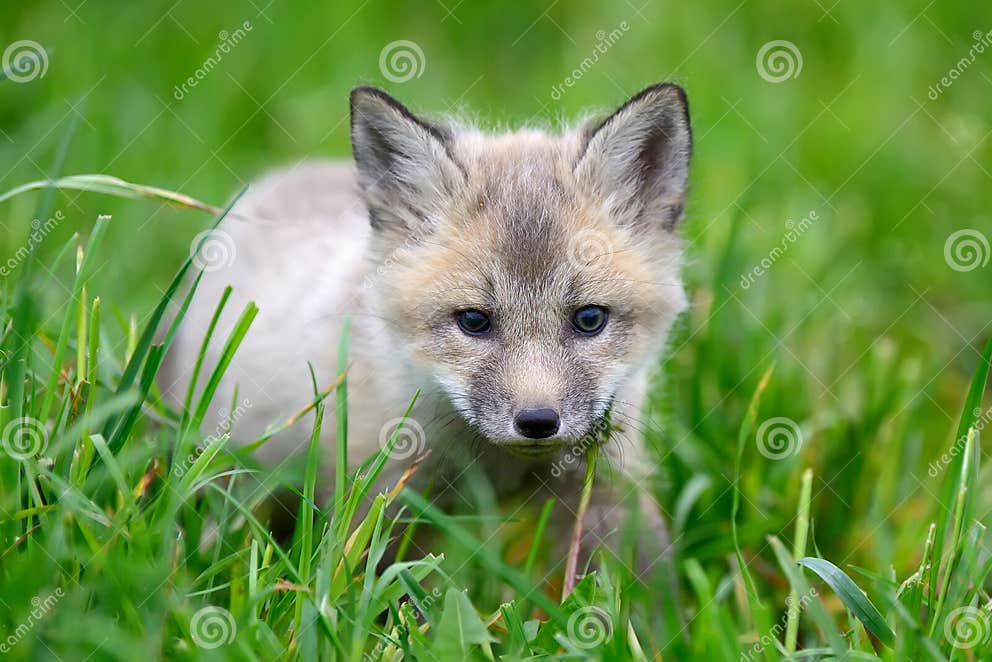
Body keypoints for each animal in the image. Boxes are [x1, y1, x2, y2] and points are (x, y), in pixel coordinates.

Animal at [166, 82, 692, 574]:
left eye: (589, 319)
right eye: (474, 321)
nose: (538, 422)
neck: (497, 466)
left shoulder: (605, 482)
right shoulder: (380, 499)